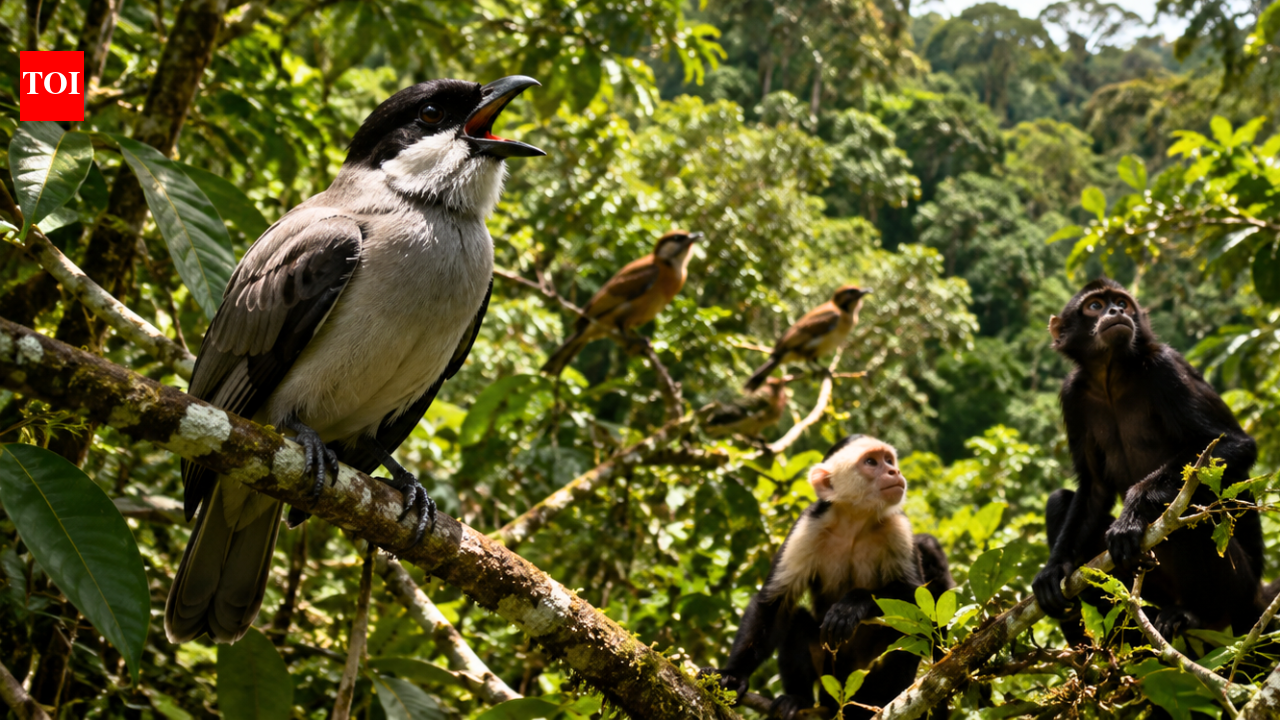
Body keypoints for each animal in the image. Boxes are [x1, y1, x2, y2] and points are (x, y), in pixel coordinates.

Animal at [702, 435, 954, 719]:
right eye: (871, 462)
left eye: (889, 460)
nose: (895, 472)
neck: (855, 521)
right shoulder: (808, 525)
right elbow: (773, 602)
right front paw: (734, 675)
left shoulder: (897, 525)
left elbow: (915, 601)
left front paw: (853, 604)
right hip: (828, 679)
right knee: (796, 618)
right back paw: (797, 699)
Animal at [1032, 278, 1264, 642]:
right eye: (1094, 306)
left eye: (1122, 303)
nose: (1116, 311)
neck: (1111, 377)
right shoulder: (1072, 394)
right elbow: (1093, 488)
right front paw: (1054, 568)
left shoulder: (1165, 366)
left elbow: (1236, 444)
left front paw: (1133, 511)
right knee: (1059, 500)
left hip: (1239, 589)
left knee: (1187, 511)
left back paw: (1193, 613)